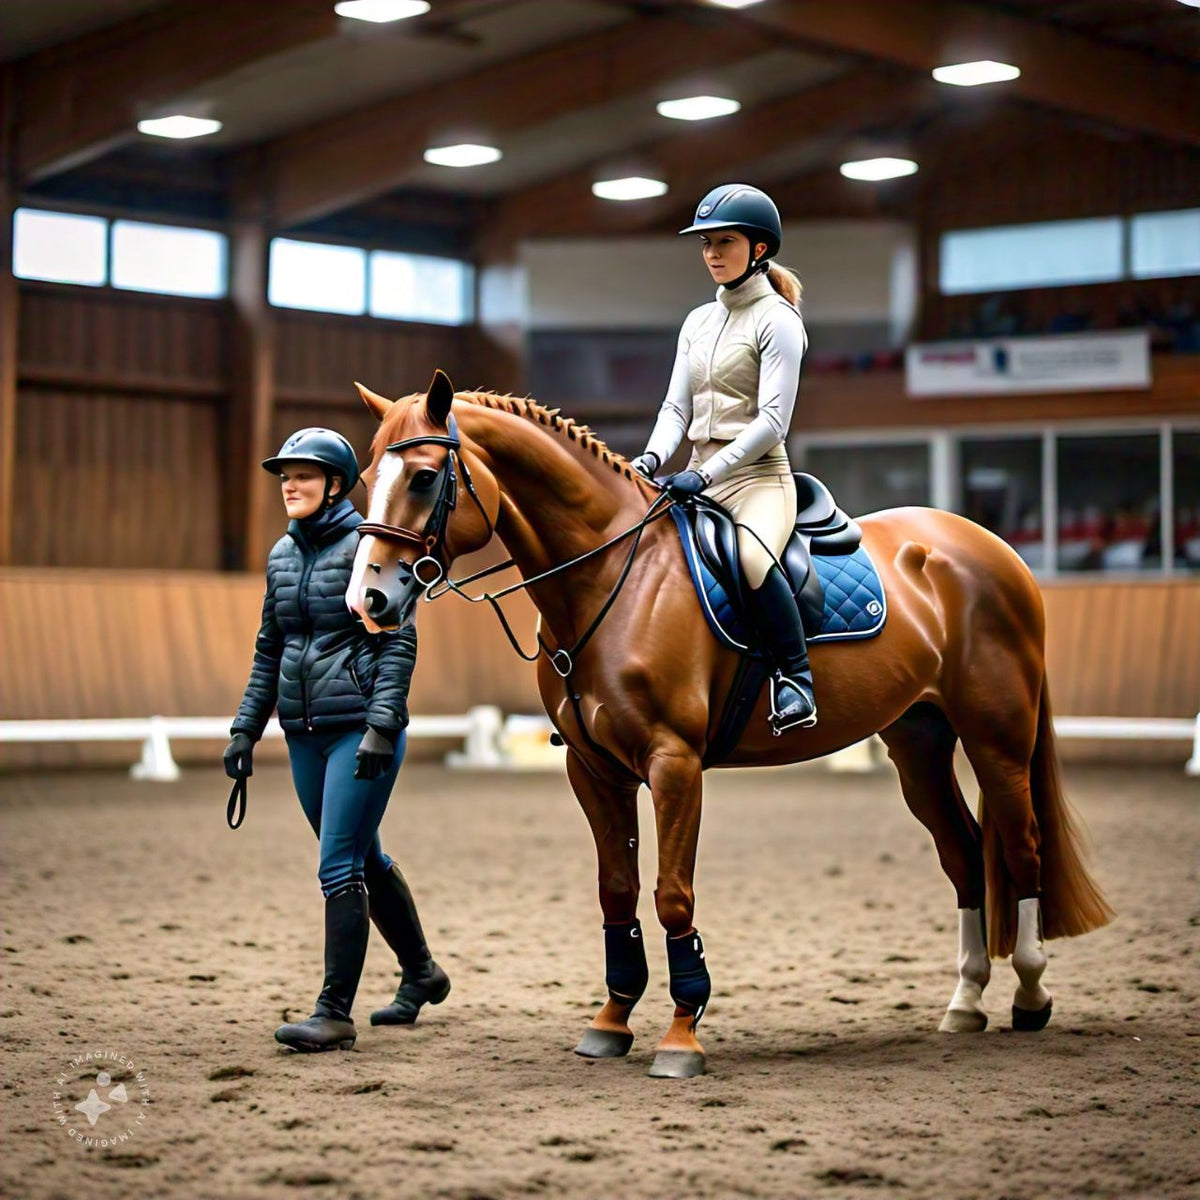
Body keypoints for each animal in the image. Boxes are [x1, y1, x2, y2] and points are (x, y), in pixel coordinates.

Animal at [345, 370, 1113, 1079]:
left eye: (423, 478)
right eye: (365, 480)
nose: (369, 599)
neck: (611, 578)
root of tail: (991, 547)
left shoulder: (673, 763)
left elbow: (672, 896)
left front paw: (682, 1036)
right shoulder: (593, 769)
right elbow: (617, 891)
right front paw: (611, 1022)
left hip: (997, 737)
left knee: (1022, 845)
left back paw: (1031, 998)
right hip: (919, 743)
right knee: (965, 855)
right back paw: (966, 1003)